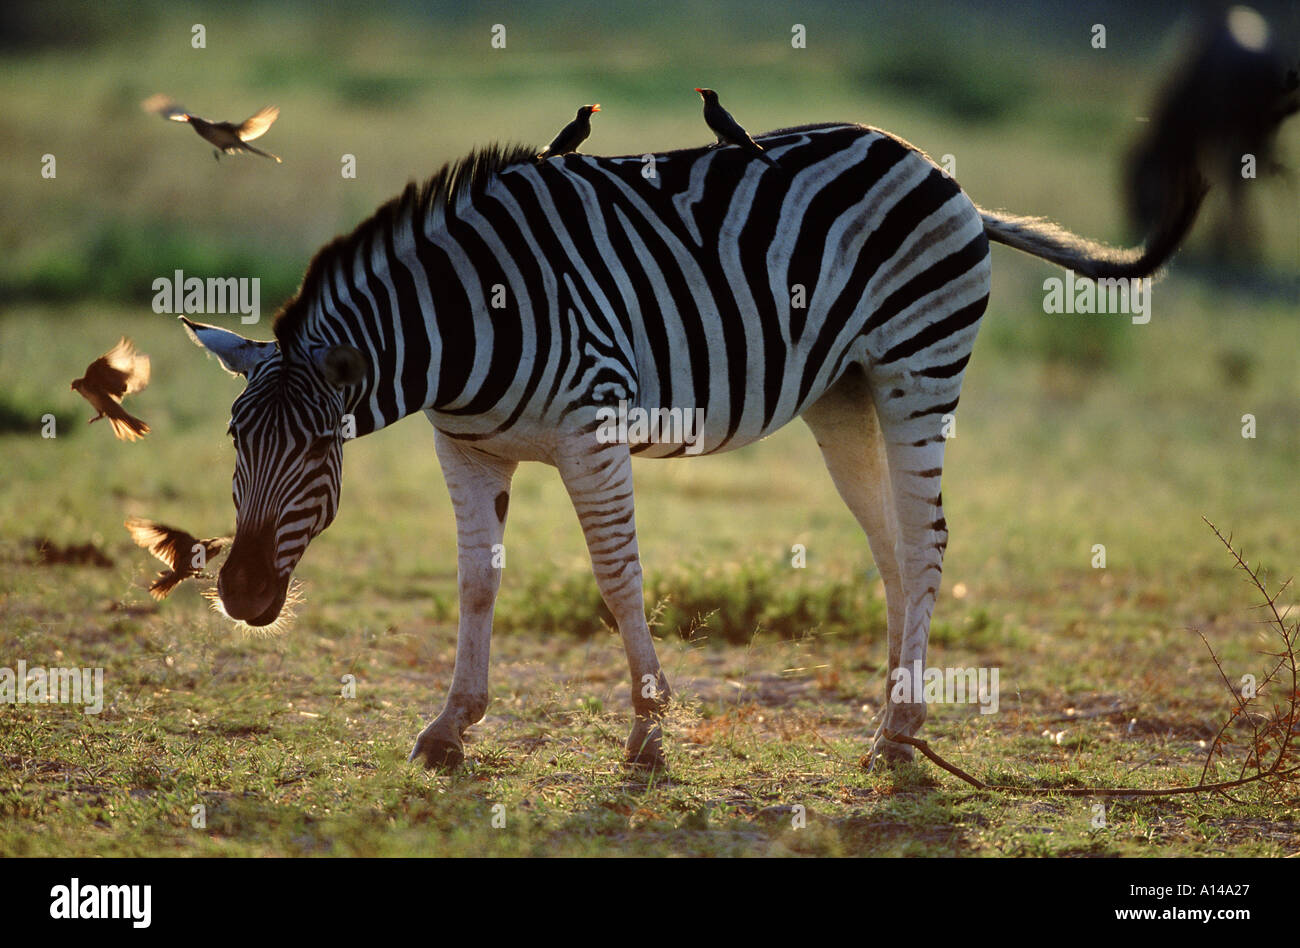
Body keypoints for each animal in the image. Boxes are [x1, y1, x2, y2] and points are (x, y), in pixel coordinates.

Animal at [181, 121, 1205, 771]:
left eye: (320, 447)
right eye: (234, 441)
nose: (239, 595)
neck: (465, 331)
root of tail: (939, 174)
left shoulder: (592, 431)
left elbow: (616, 578)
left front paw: (646, 732)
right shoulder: (466, 451)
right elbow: (477, 584)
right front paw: (450, 727)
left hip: (921, 369)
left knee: (928, 538)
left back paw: (897, 730)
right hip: (844, 395)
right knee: (893, 546)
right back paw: (895, 716)